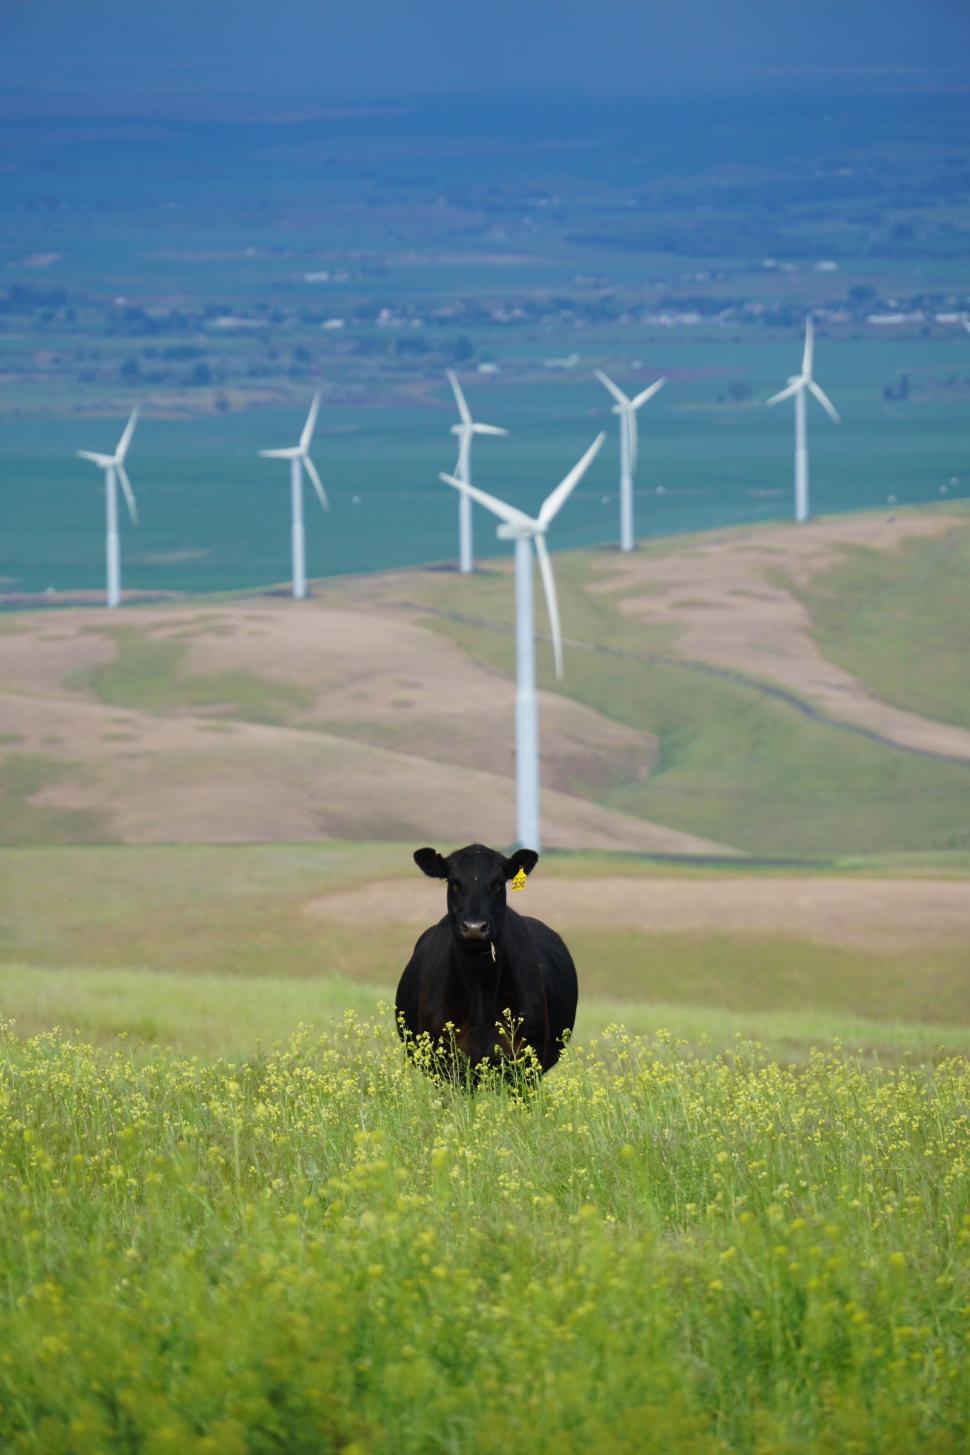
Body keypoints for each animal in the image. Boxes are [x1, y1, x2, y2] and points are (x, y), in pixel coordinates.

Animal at [395, 842, 578, 1080]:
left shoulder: (526, 1063)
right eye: (453, 882)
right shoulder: (445, 1066)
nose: (474, 927)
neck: (479, 986)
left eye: (499, 882)